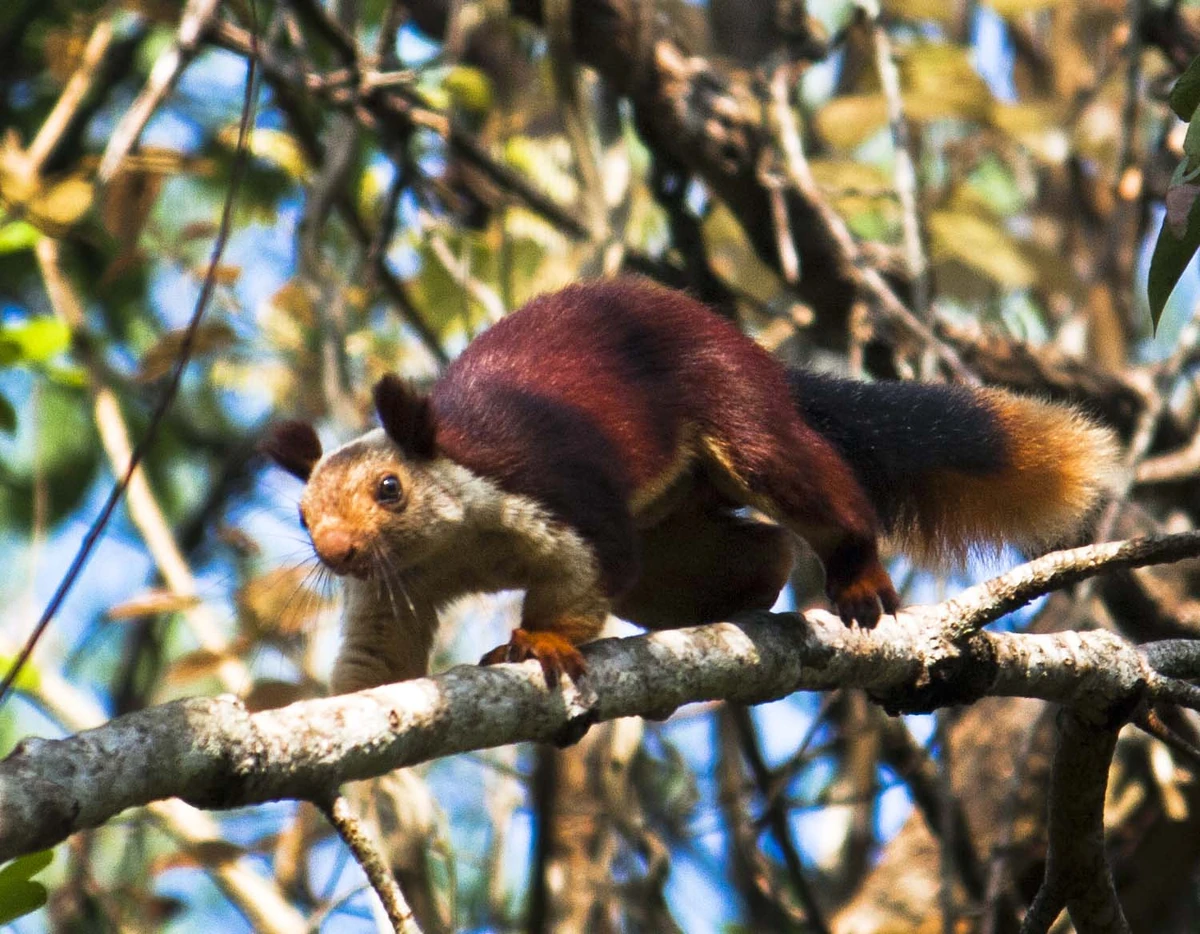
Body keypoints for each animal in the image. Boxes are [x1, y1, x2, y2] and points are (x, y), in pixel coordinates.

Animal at [264, 278, 1119, 691]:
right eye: (303, 518)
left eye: (388, 489)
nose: (336, 551)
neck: (455, 547)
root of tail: (759, 360)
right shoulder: (394, 589)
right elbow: (379, 660)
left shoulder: (558, 497)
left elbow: (588, 570)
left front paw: (538, 641)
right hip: (675, 544)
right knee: (750, 552)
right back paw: (737, 605)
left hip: (740, 425)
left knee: (817, 494)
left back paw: (856, 575)